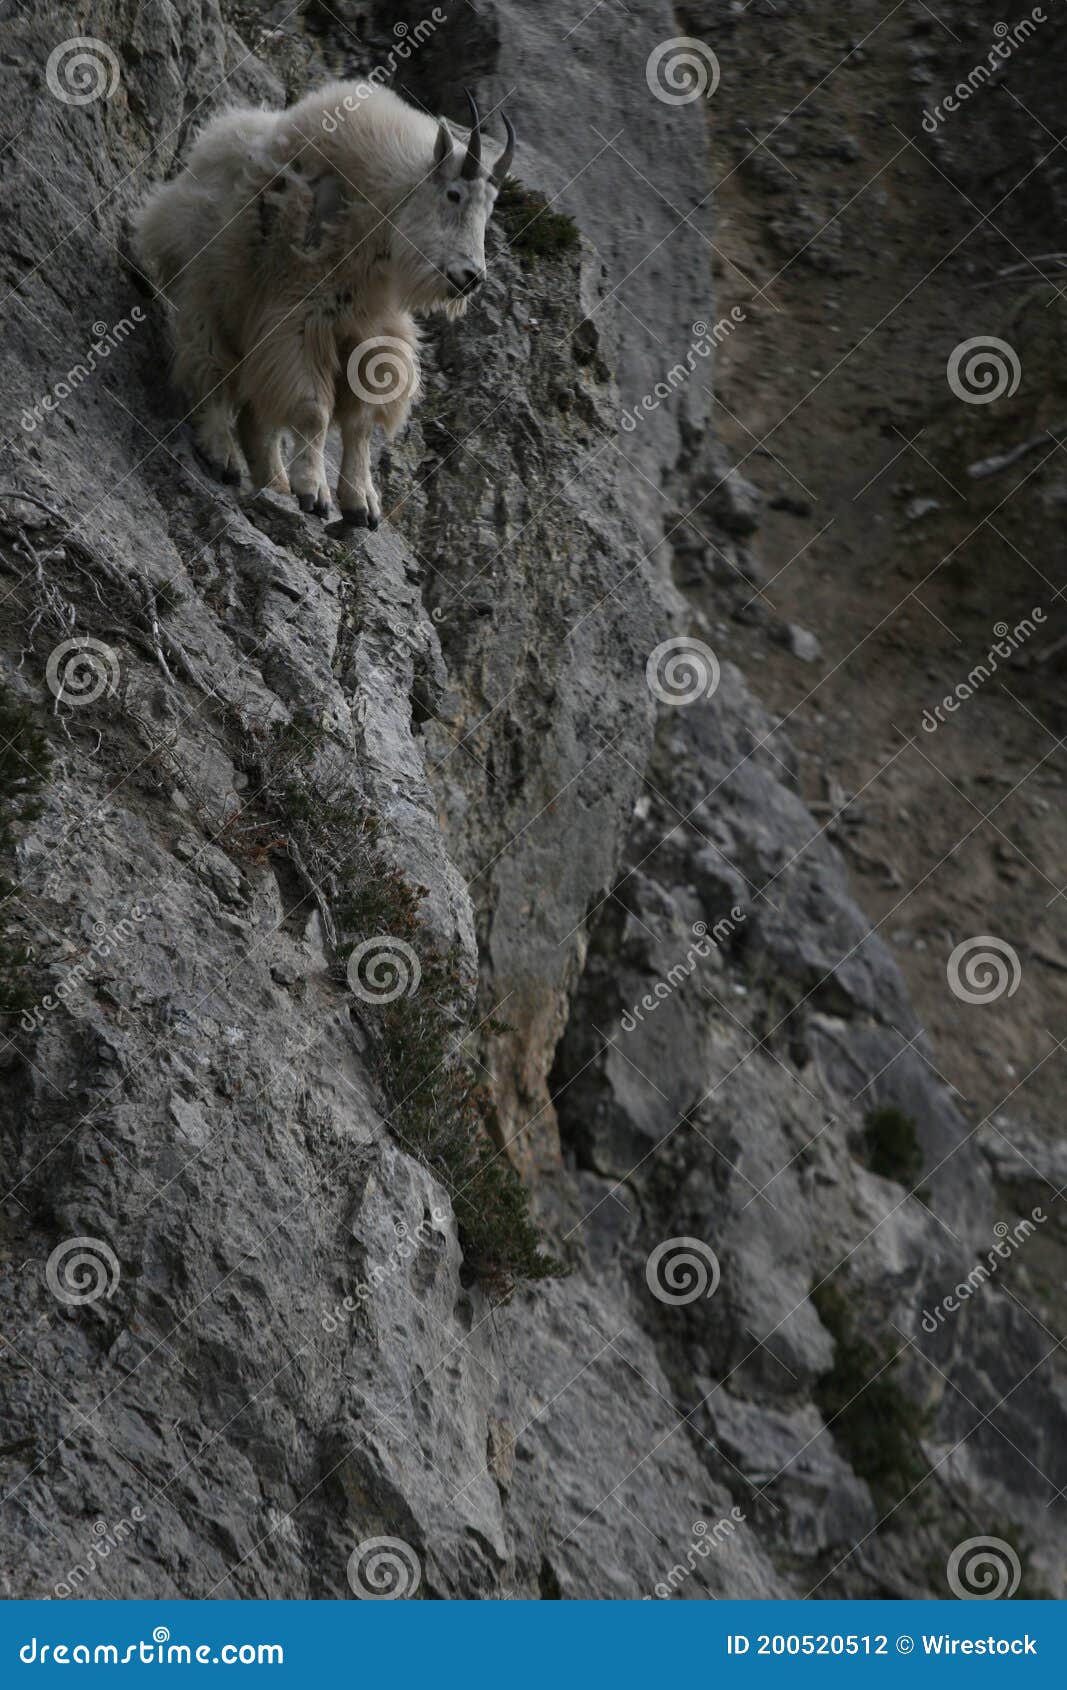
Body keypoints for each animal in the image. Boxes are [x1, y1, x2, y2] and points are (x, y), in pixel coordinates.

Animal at [135, 83, 514, 526]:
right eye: (454, 194)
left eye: (489, 210)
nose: (471, 277)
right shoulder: (300, 317)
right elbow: (313, 409)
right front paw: (314, 492)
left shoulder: (369, 333)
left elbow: (360, 422)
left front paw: (361, 504)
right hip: (209, 292)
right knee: (211, 368)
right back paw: (221, 453)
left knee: (257, 414)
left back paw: (275, 481)